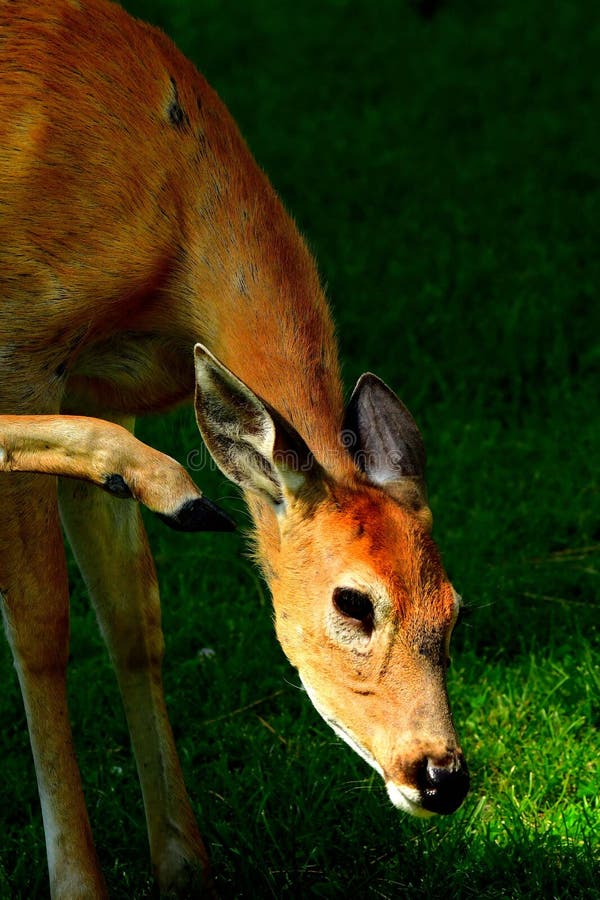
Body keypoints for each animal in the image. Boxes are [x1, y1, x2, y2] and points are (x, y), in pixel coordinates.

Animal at [0, 0, 469, 896]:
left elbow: (134, 614)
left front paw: (184, 863)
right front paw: (78, 880)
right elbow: (42, 624)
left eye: (455, 608)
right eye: (353, 602)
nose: (440, 775)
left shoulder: (94, 379)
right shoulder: (24, 348)